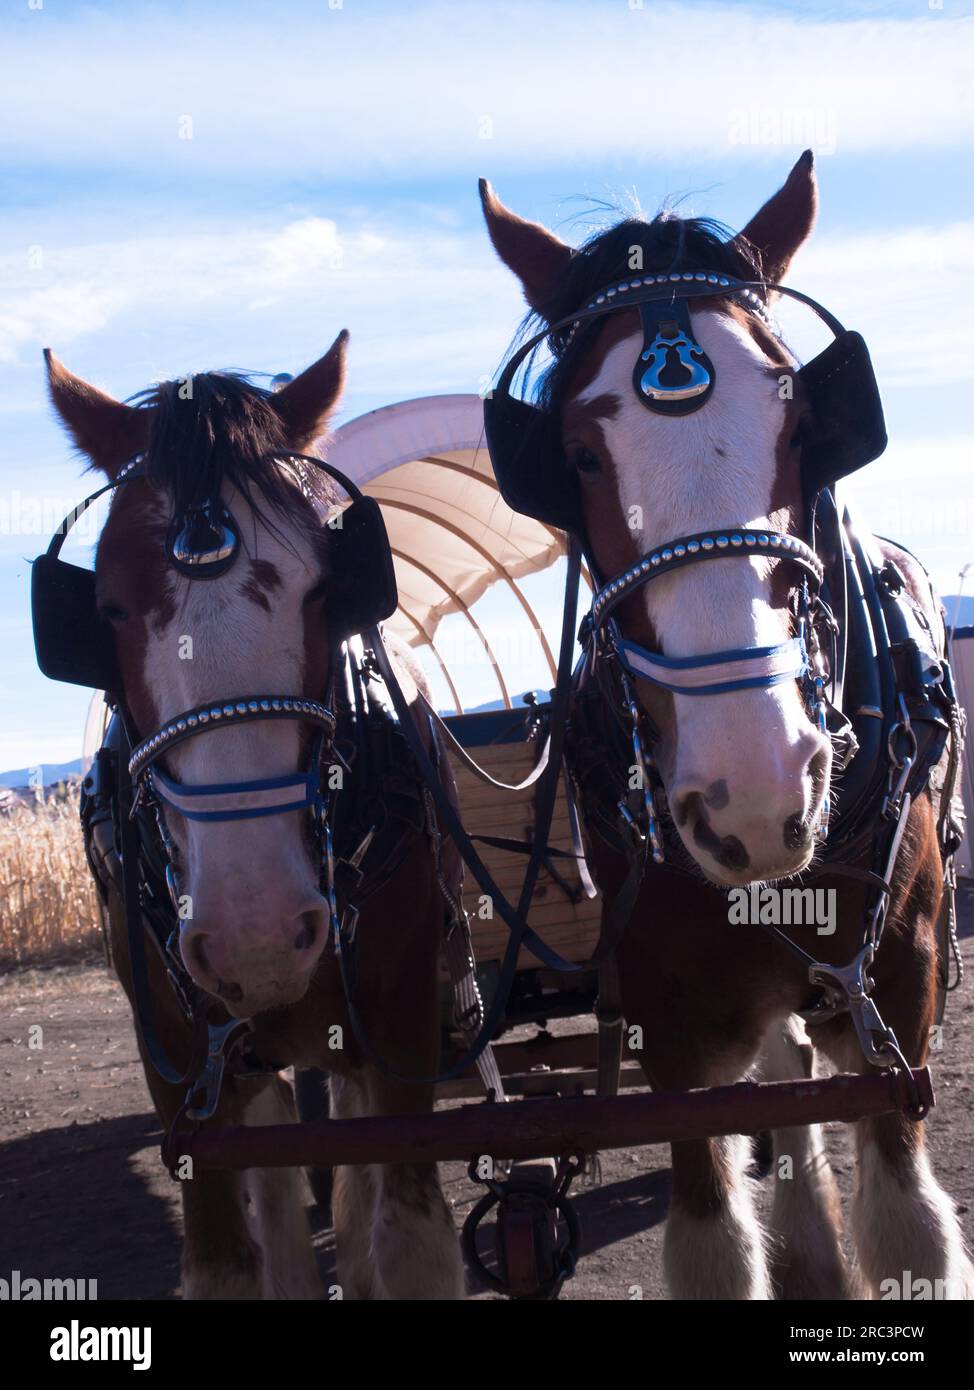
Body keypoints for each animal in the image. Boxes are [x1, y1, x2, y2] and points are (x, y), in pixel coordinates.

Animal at [39, 335, 466, 1299]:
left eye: (325, 590)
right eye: (104, 607)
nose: (256, 931)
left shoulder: (403, 1016)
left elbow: (409, 1233)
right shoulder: (178, 1058)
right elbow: (228, 1259)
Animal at [478, 152, 972, 1300]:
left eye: (802, 419)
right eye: (574, 454)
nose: (754, 790)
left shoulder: (899, 1006)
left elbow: (910, 1231)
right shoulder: (674, 1034)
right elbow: (712, 1225)